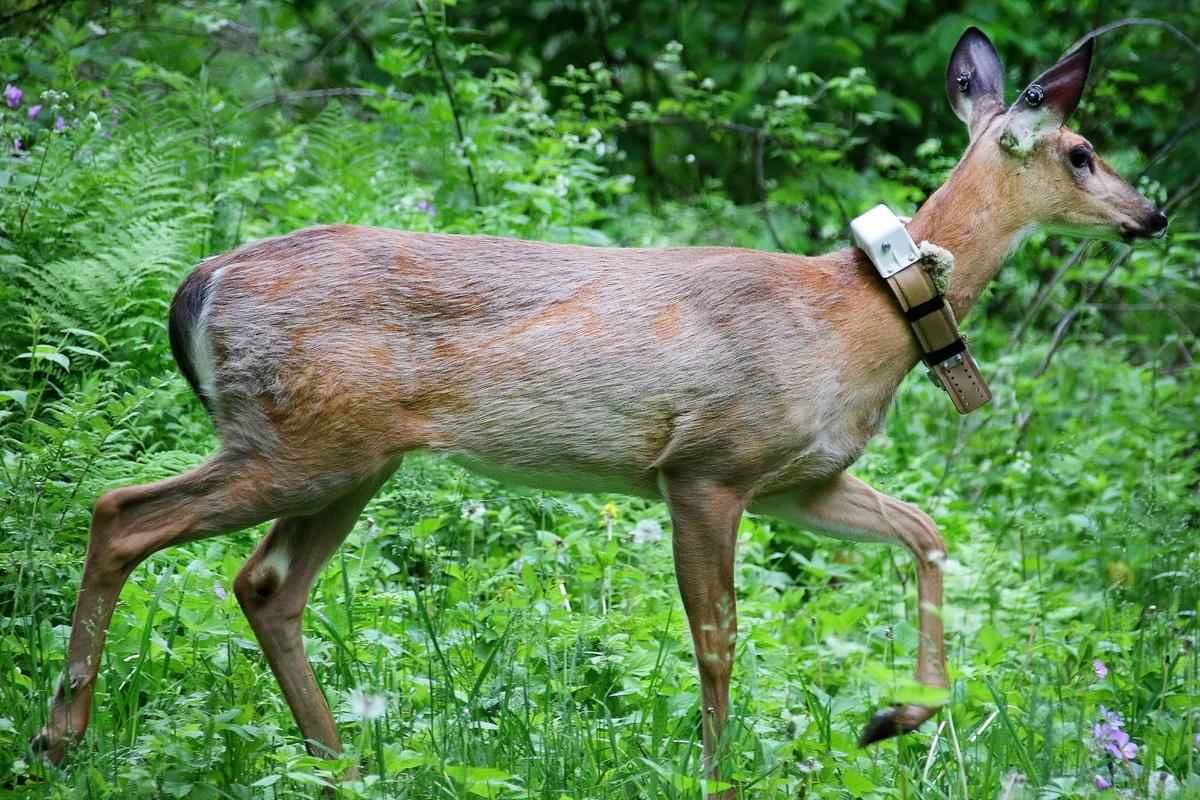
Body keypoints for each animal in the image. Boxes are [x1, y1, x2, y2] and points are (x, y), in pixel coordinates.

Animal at [33, 26, 1166, 795]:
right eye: (1080, 150)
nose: (1151, 213)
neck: (858, 318)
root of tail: (199, 283)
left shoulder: (799, 480)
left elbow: (927, 533)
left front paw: (893, 717)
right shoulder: (706, 464)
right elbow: (718, 638)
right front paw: (717, 771)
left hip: (351, 458)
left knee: (263, 583)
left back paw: (338, 761)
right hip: (299, 442)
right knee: (122, 511)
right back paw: (61, 735)